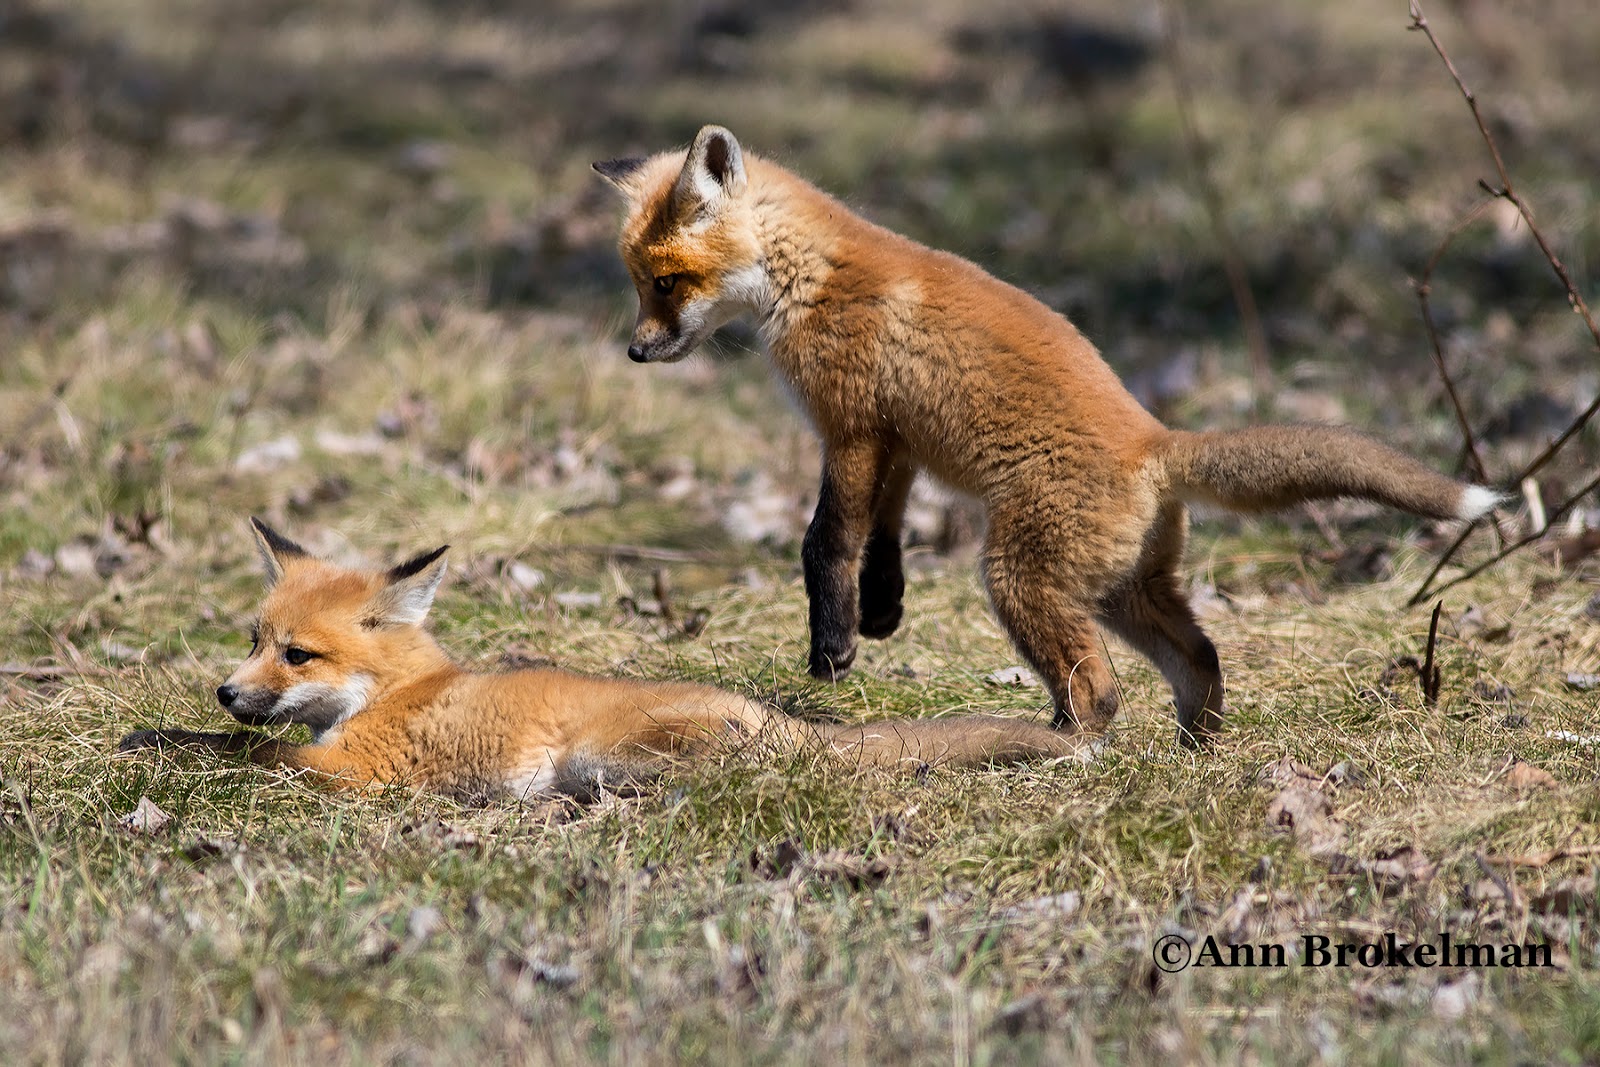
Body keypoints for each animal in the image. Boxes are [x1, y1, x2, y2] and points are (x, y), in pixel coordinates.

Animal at [115, 519, 1088, 797]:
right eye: (252, 639)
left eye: (299, 654)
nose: (225, 688)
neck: (394, 694)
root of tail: (786, 720)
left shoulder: (357, 770)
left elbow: (245, 751)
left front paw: (159, 742)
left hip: (610, 754)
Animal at [593, 124, 1500, 747]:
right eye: (637, 282)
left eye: (667, 282)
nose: (634, 352)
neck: (809, 276)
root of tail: (1154, 442)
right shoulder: (900, 444)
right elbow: (884, 540)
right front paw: (883, 612)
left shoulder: (849, 429)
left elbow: (828, 541)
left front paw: (835, 645)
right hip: (1123, 590)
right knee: (1200, 659)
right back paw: (1190, 753)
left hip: (1018, 579)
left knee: (1100, 690)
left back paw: (1059, 749)